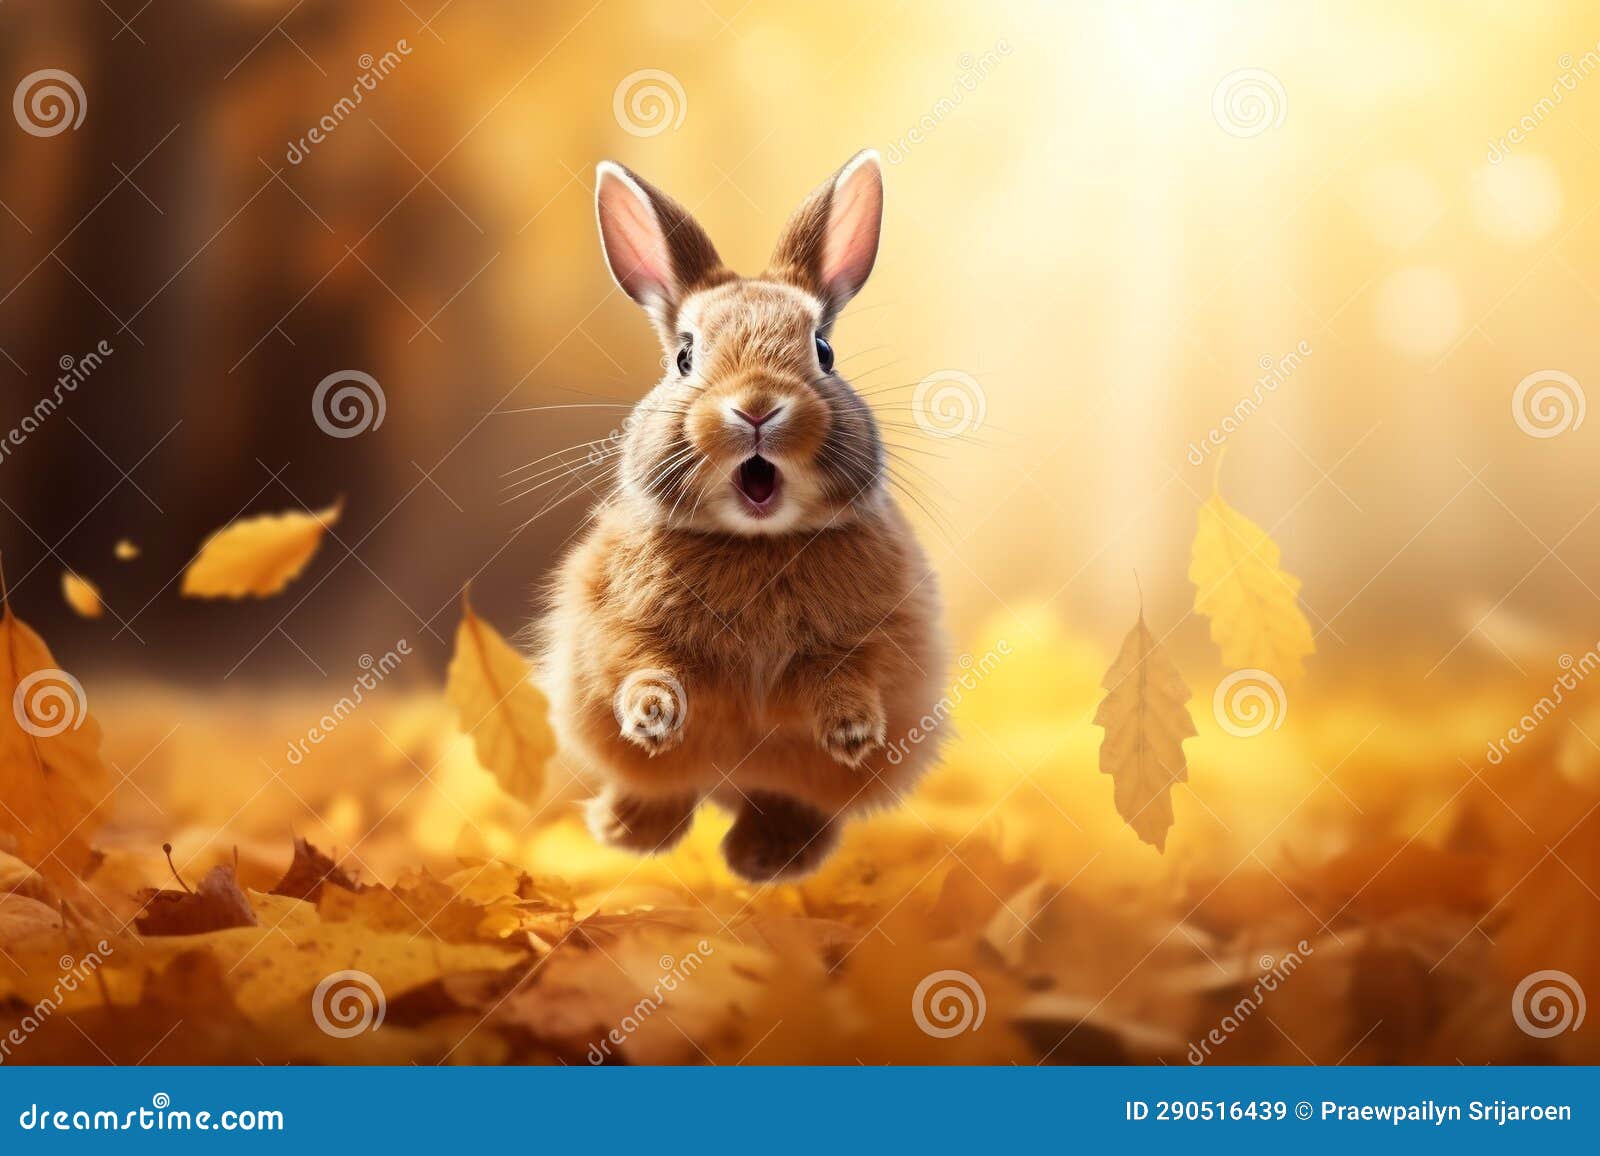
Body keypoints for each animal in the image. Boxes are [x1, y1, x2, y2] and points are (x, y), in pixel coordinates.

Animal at [537, 150, 948, 883]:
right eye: (684, 356)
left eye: (824, 351)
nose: (756, 406)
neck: (757, 542)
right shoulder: (614, 627)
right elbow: (640, 665)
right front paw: (652, 715)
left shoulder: (880, 636)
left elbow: (851, 674)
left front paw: (852, 730)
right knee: (664, 787)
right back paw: (626, 830)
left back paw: (764, 859)